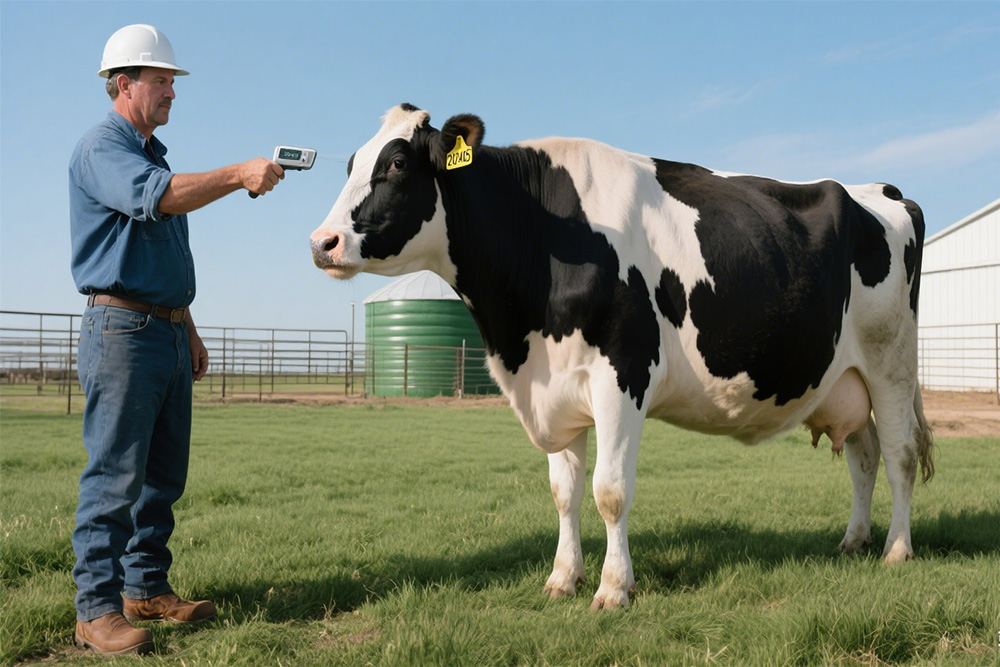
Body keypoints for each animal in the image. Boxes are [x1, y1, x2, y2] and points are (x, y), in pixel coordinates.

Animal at [310, 104, 934, 610]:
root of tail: (883, 191)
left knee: (900, 454)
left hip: (891, 363)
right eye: (350, 163)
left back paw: (897, 549)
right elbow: (564, 493)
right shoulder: (557, 386)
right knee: (864, 455)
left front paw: (614, 588)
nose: (322, 242)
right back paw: (853, 540)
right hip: (845, 378)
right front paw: (563, 579)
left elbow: (609, 491)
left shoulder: (621, 376)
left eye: (396, 164)